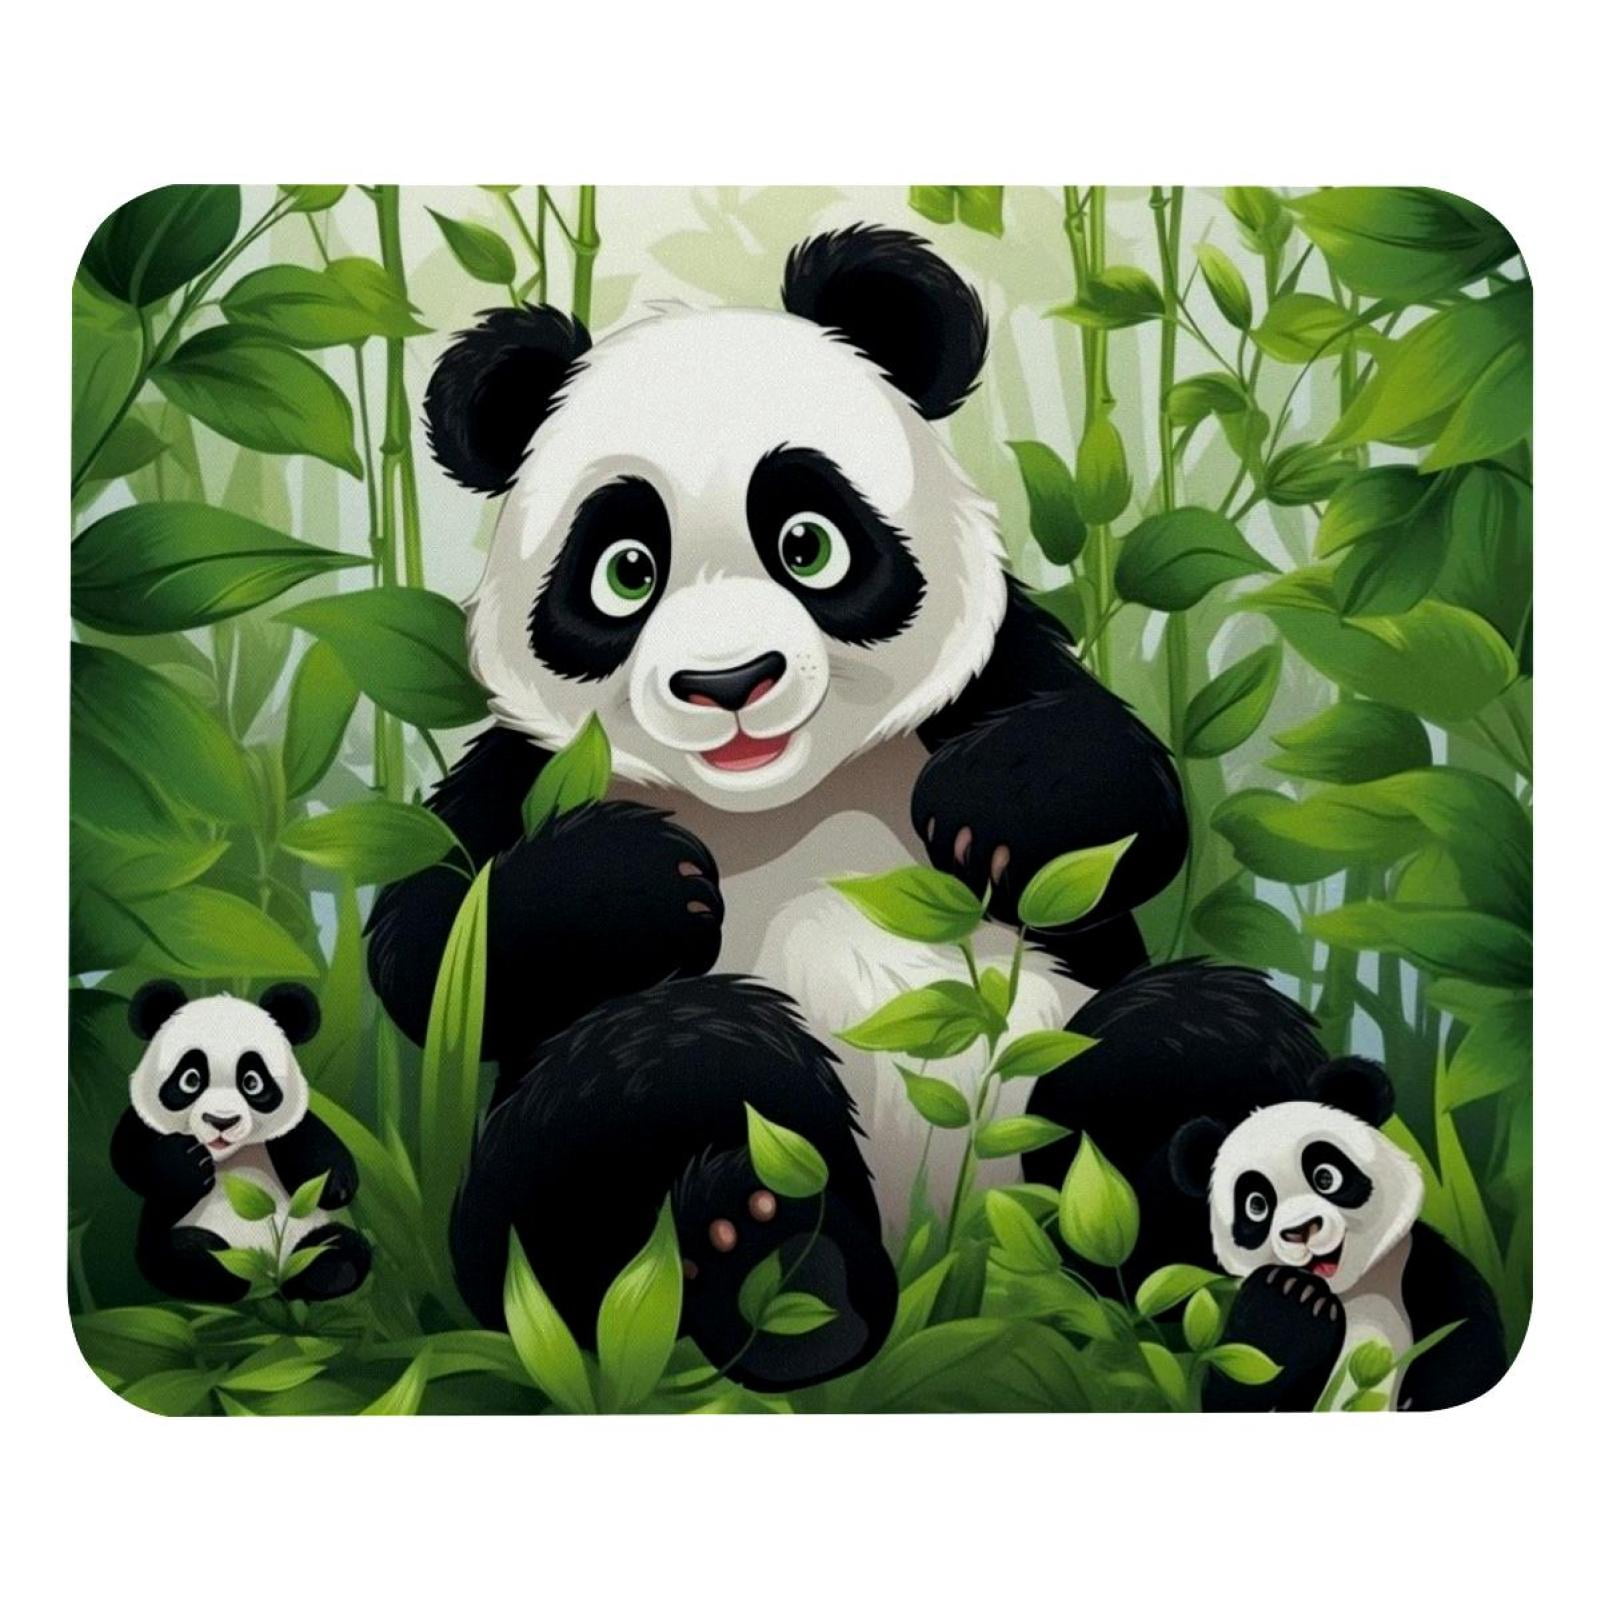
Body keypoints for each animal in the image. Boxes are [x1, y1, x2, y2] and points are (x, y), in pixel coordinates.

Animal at [111, 980, 371, 1304]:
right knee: (179, 1255)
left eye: (252, 1082)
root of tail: (269, 1271)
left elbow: (314, 1143)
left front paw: (336, 1183)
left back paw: (327, 1270)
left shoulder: (292, 1132)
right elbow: (130, 1157)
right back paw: (220, 1272)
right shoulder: (139, 1123)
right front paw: (187, 1165)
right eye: (190, 1079)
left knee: (338, 1245)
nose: (221, 1121)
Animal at [368, 224, 1219, 1391]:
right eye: (624, 570)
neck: (779, 800)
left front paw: (993, 811)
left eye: (807, 541)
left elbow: (1126, 794)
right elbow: (430, 938)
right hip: (539, 1221)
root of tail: (965, 1249)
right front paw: (635, 883)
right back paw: (772, 1265)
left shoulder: (989, 679)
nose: (729, 682)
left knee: (1169, 1046)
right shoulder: (535, 767)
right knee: (647, 1077)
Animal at [1169, 1055, 1507, 1411]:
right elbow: (1235, 1386)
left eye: (1326, 1177)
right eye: (1256, 1205)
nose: (1300, 1229)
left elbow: (1468, 1356)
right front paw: (1290, 1301)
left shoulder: (1430, 1272)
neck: (1350, 1290)